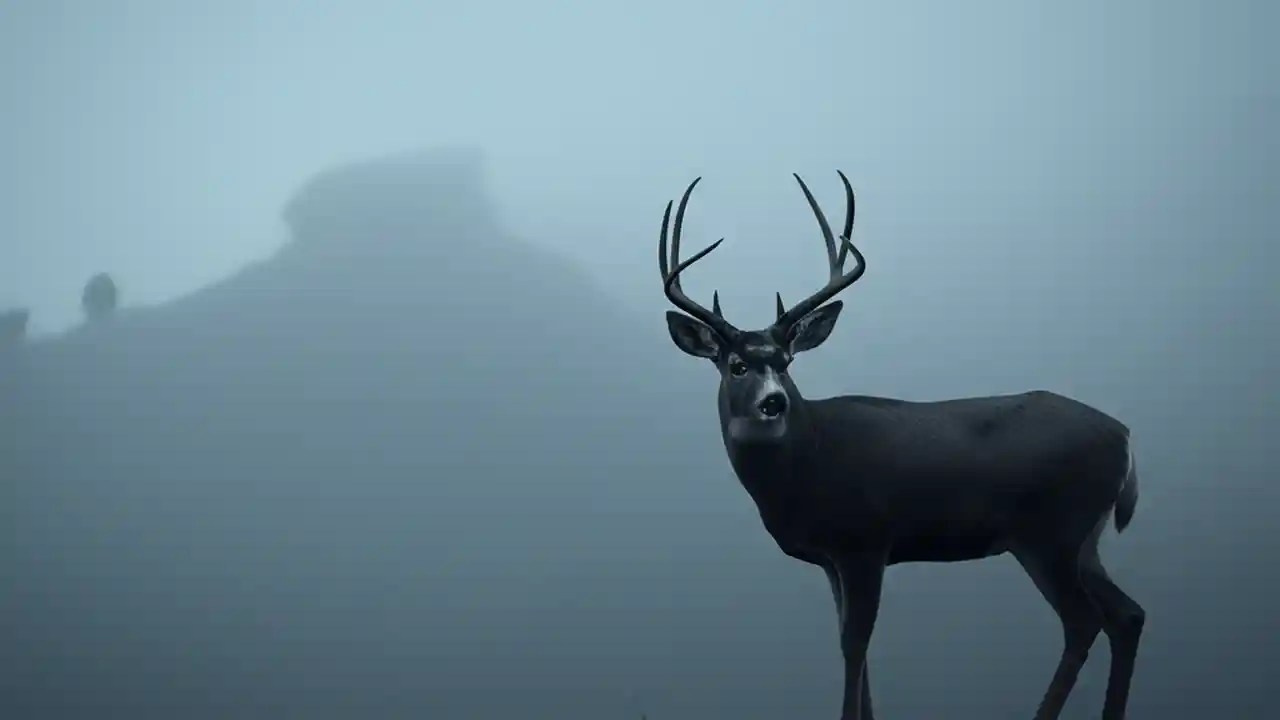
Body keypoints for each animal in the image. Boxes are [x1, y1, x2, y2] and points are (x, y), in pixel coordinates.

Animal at [655, 173, 1146, 720]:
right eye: (736, 364)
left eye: (785, 361)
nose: (774, 402)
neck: (809, 461)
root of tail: (1124, 433)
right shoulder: (832, 558)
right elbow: (851, 644)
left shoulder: (866, 540)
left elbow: (855, 644)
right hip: (1084, 539)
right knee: (1128, 614)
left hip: (1052, 531)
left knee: (1084, 621)